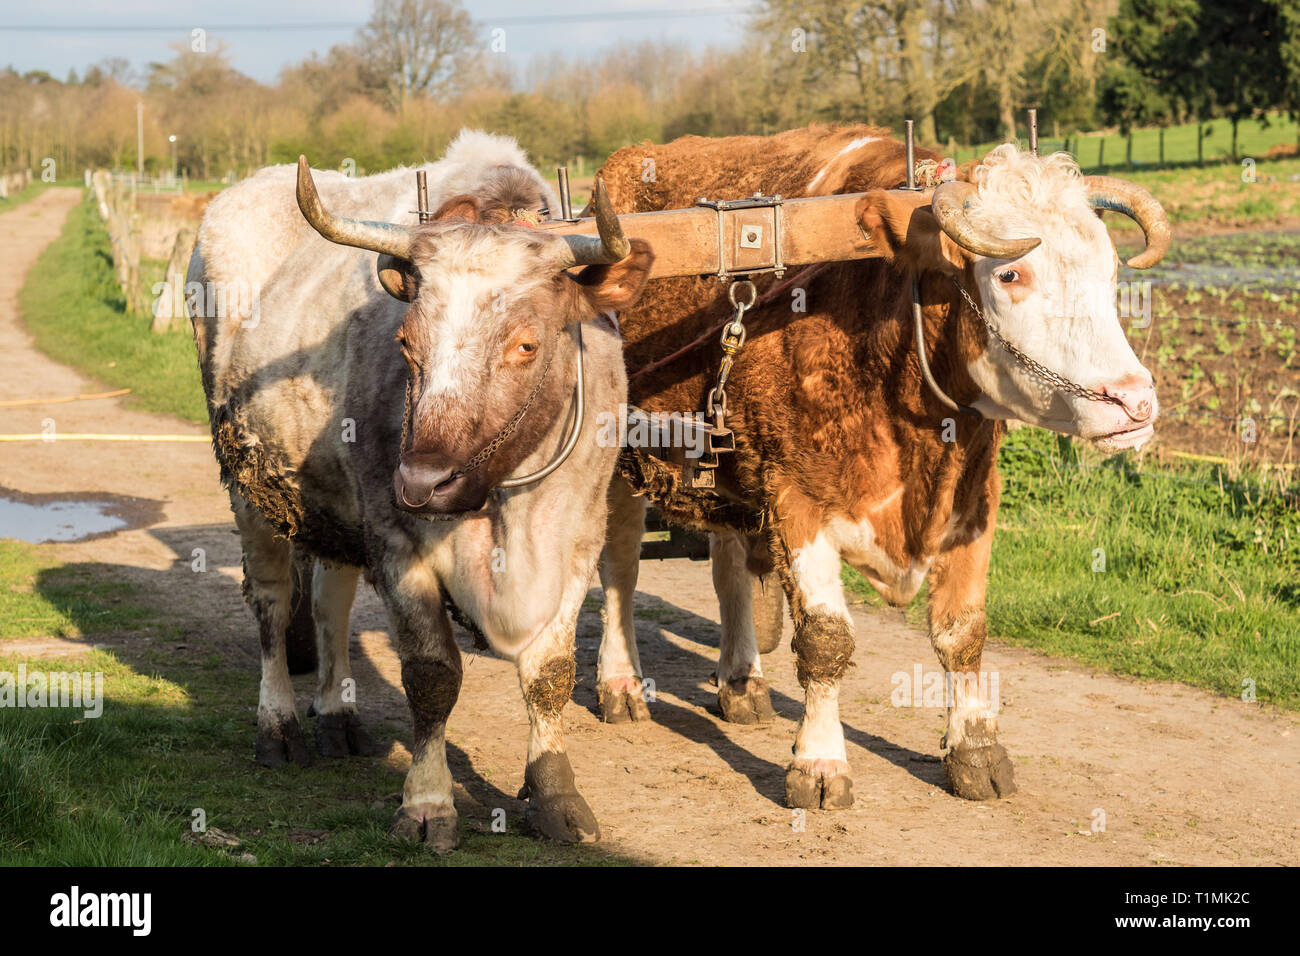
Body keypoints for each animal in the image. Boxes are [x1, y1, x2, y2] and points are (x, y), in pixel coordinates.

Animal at [187, 131, 654, 849]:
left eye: (526, 345)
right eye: (406, 342)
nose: (421, 482)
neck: (502, 499)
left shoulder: (576, 541)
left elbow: (549, 673)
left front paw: (554, 794)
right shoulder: (399, 545)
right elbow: (432, 677)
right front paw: (429, 803)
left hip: (333, 503)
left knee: (329, 603)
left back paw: (337, 715)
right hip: (252, 484)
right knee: (271, 605)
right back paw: (280, 726)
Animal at [592, 124, 1170, 809]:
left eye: (1109, 270)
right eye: (1011, 273)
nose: (1134, 401)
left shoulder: (973, 499)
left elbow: (963, 632)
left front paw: (975, 750)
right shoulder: (797, 500)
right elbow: (825, 640)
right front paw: (819, 763)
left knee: (730, 565)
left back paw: (742, 681)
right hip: (619, 460)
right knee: (620, 569)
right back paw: (621, 684)